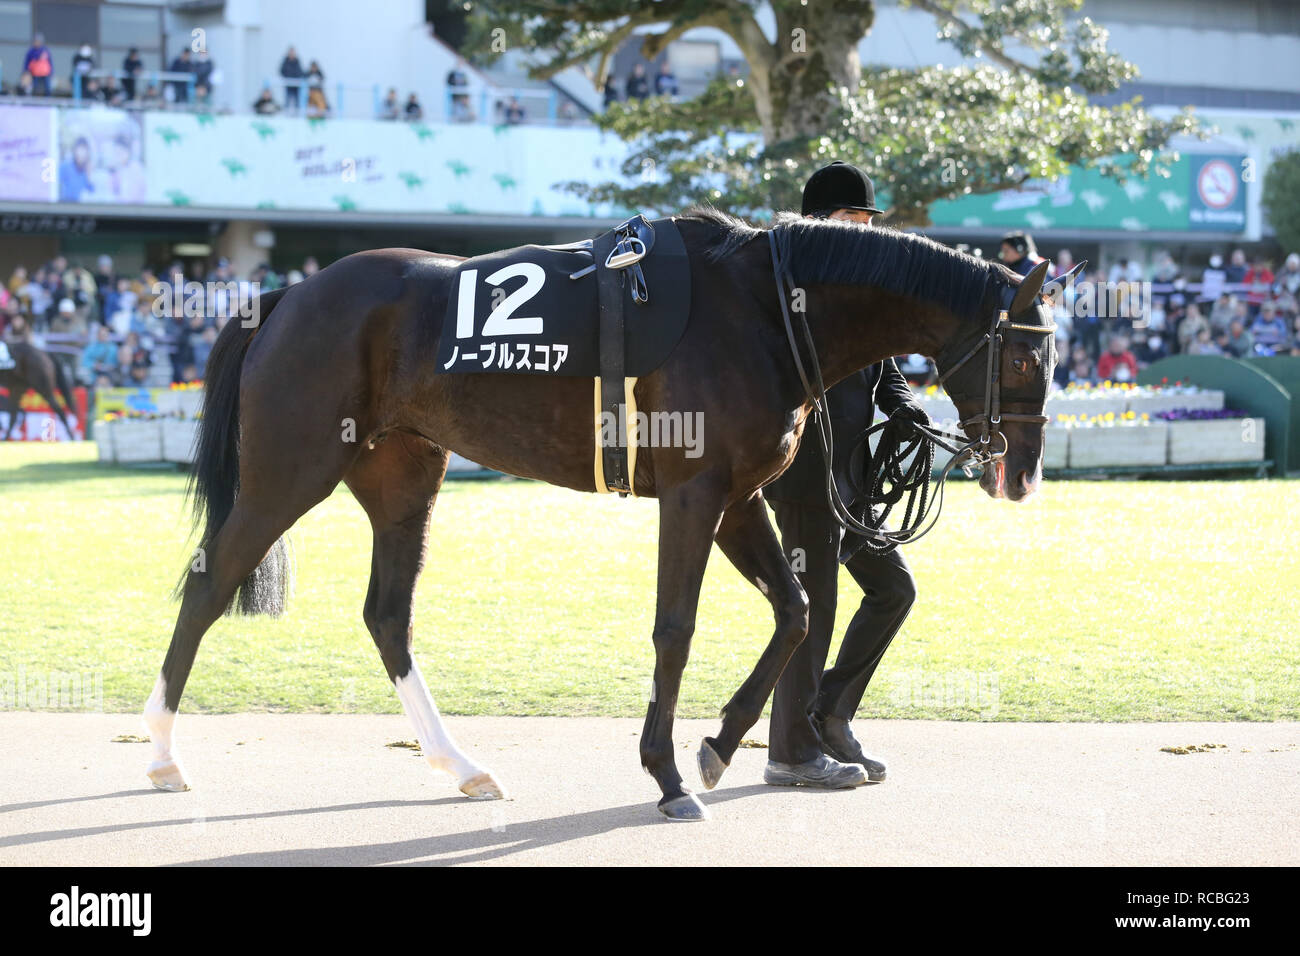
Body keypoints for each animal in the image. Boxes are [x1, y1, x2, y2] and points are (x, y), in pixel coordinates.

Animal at [143, 208, 1061, 821]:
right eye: (1025, 354)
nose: (1021, 470)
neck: (763, 306)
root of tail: (285, 296)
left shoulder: (738, 497)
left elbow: (797, 612)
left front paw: (719, 746)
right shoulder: (695, 493)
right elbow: (676, 627)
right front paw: (668, 773)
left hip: (403, 477)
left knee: (387, 616)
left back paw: (462, 765)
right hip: (289, 472)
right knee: (207, 586)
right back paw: (160, 754)